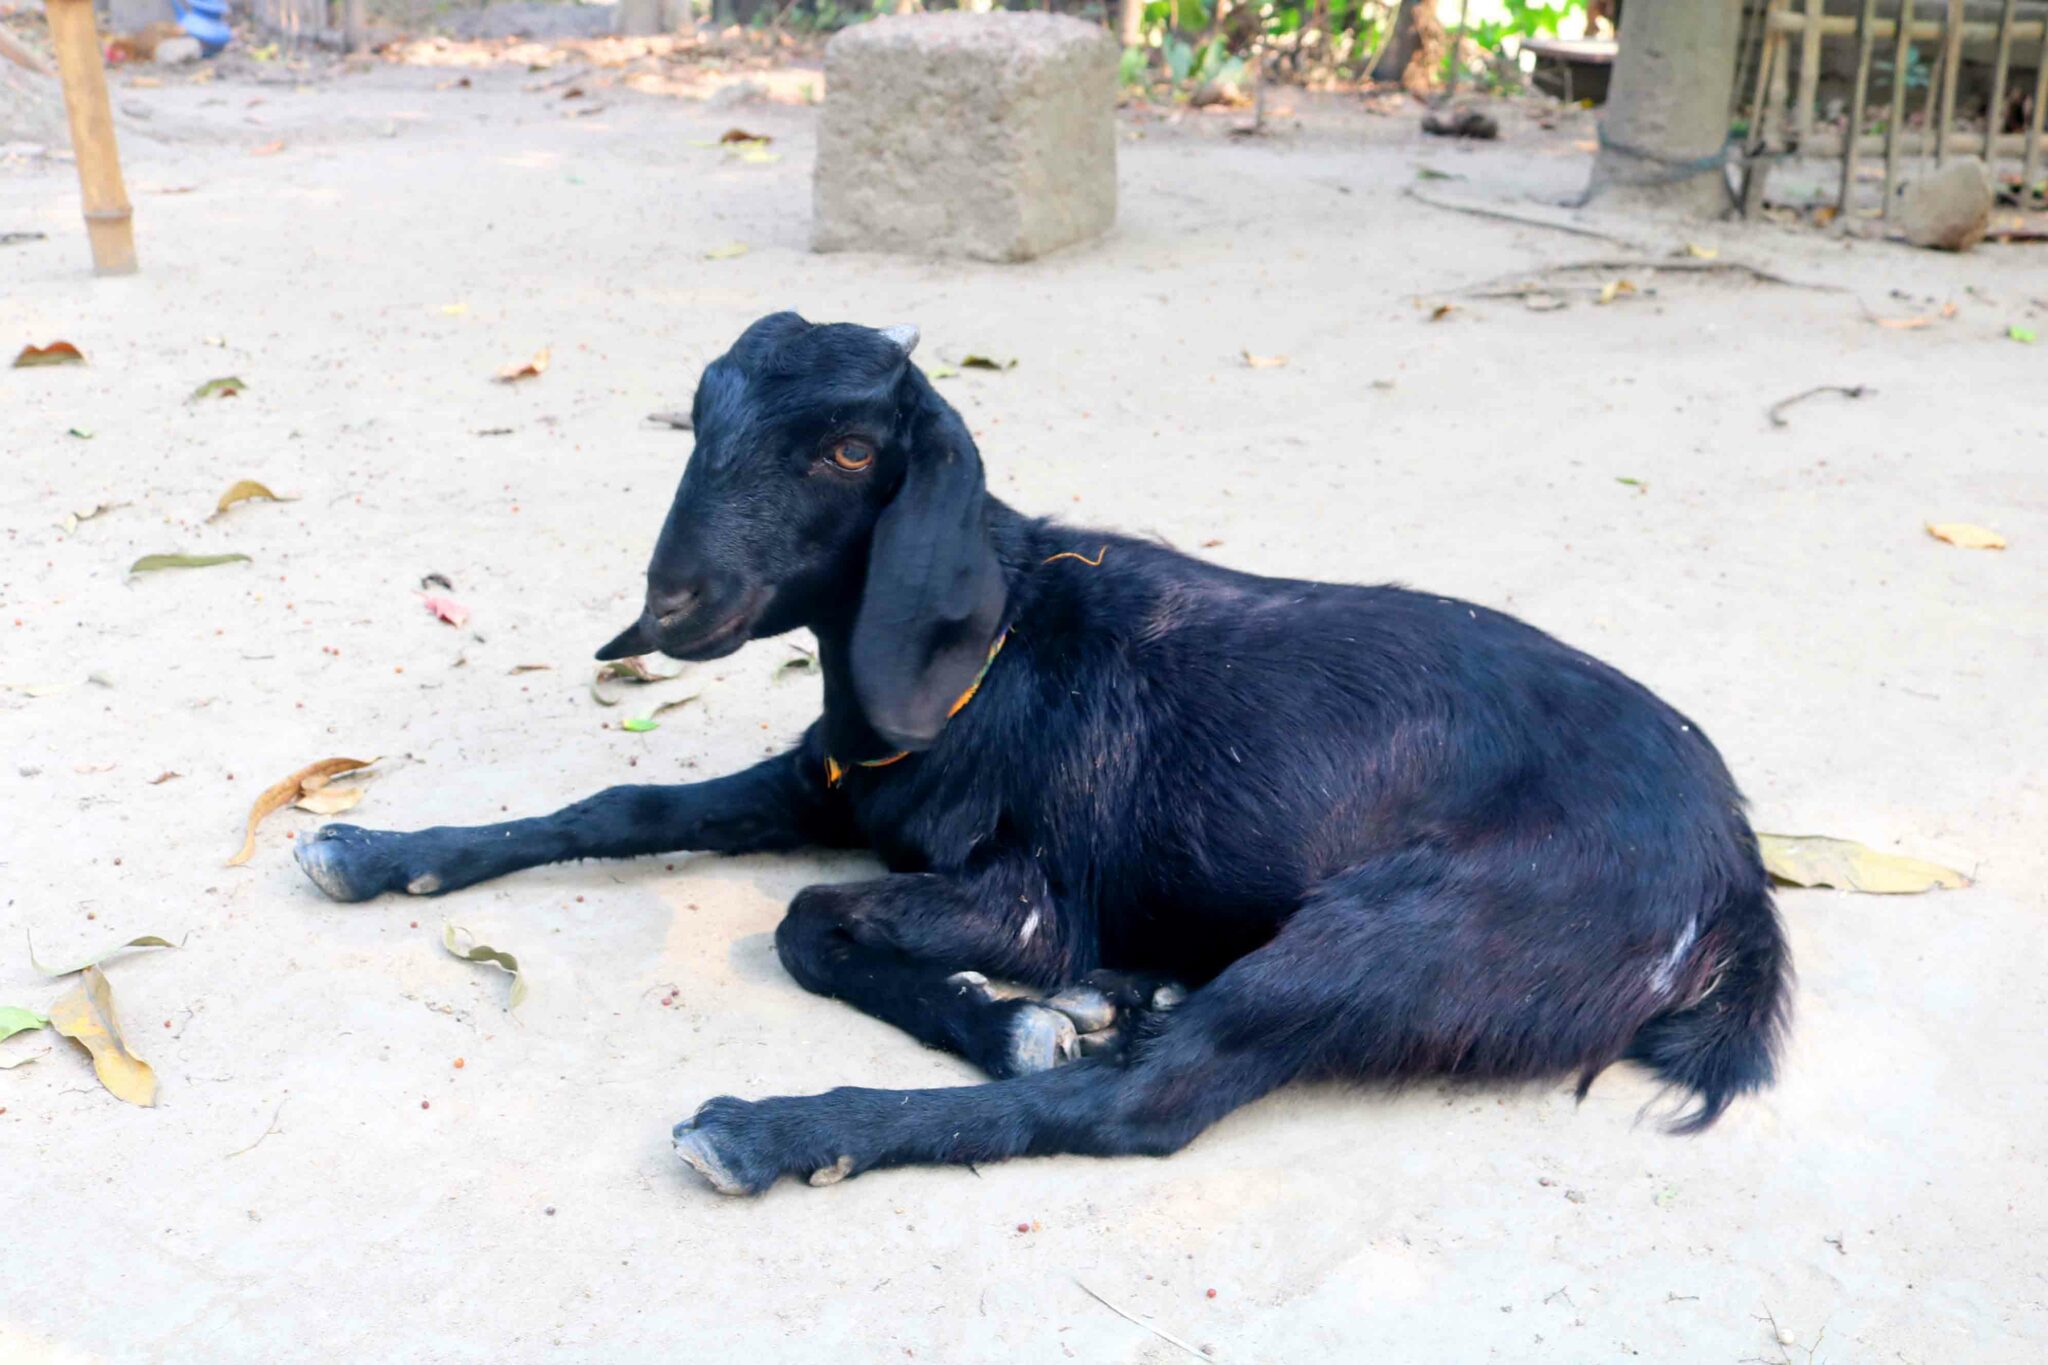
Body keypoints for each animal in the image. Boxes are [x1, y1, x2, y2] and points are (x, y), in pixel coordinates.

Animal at [296, 312, 1791, 1196]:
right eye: (700, 415)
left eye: (851, 448)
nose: (672, 605)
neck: (999, 640)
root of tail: (1735, 879)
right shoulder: (824, 782)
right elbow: (622, 800)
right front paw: (376, 848)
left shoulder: (1030, 897)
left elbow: (808, 920)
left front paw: (1006, 1021)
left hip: (1407, 931)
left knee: (1147, 1105)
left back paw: (779, 1127)